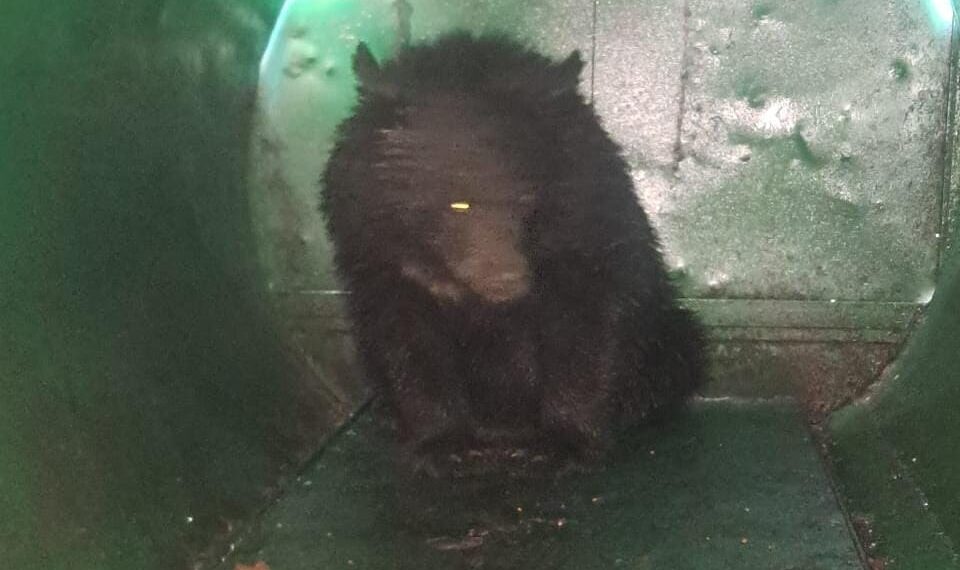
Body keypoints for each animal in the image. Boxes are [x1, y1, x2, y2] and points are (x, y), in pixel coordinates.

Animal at [320, 32, 706, 476]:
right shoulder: (377, 251)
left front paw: (563, 443)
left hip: (666, 332)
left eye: (525, 196)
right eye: (457, 203)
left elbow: (585, 327)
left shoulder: (584, 227)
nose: (508, 278)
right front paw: (441, 444)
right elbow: (408, 342)